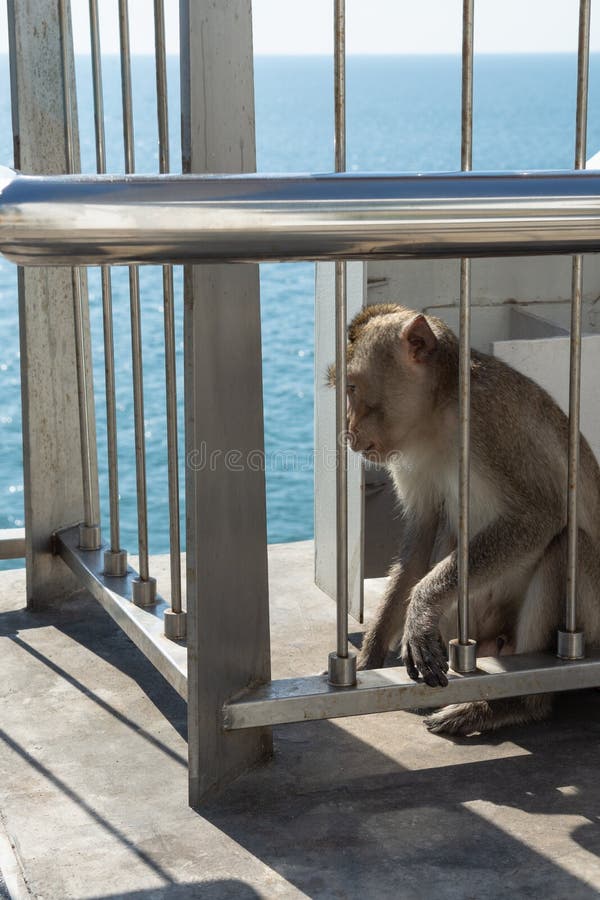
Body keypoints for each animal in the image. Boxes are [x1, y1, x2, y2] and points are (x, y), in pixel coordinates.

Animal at [330, 303, 600, 736]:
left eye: (352, 388)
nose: (348, 431)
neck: (439, 413)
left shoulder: (489, 417)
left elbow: (541, 515)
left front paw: (421, 607)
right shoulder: (410, 457)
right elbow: (421, 538)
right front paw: (370, 660)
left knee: (565, 544)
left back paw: (514, 705)